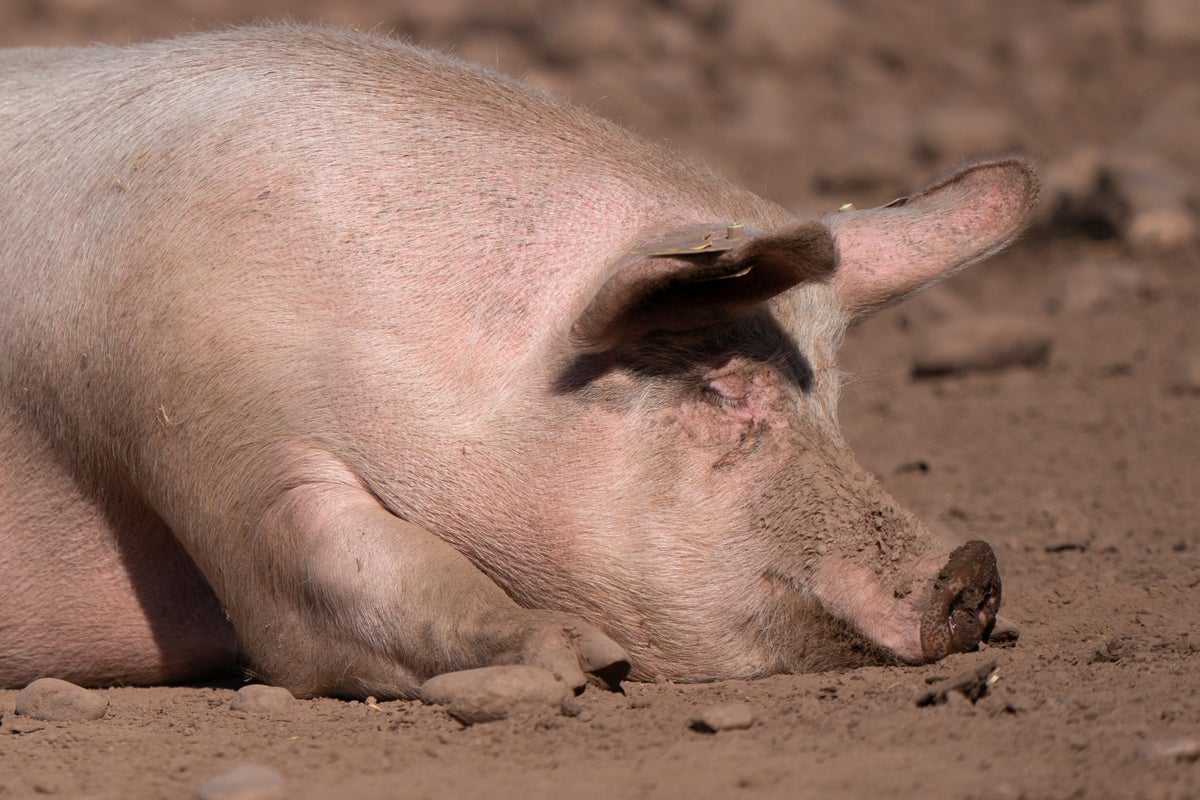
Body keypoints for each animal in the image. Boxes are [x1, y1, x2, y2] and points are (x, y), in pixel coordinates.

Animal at [0, 25, 1036, 699]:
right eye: (719, 389)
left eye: (833, 400)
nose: (971, 566)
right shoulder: (182, 408)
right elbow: (318, 580)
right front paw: (587, 659)